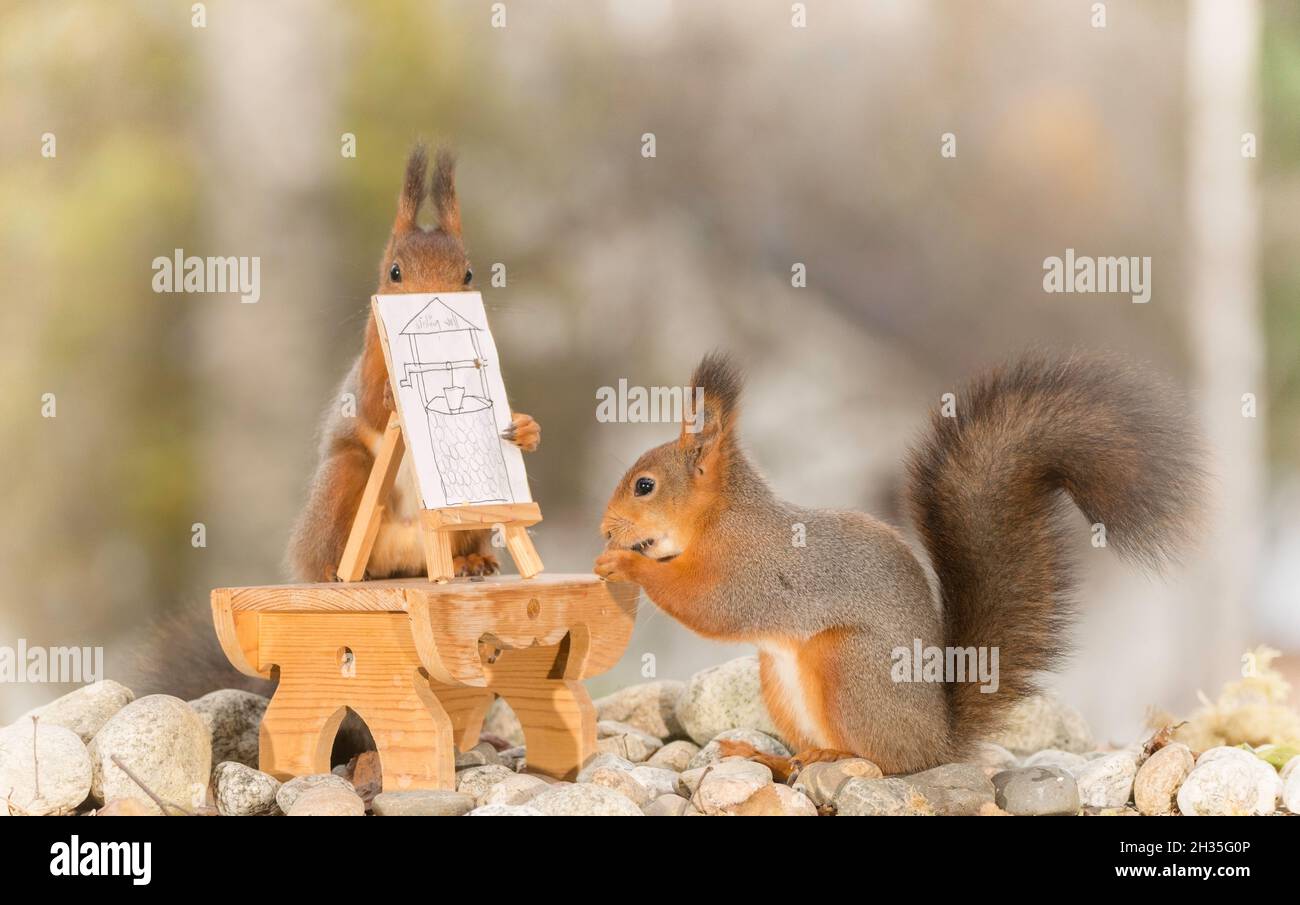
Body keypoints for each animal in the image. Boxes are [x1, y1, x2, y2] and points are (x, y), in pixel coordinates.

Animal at [287, 143, 540, 582]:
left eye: (468, 274)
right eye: (394, 272)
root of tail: (403, 556)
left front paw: (526, 428)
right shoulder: (366, 368)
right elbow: (370, 405)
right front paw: (392, 395)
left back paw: (471, 561)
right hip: (341, 481)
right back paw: (332, 569)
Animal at [595, 352, 1204, 777]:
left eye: (645, 486)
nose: (605, 529)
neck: (720, 519)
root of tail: (939, 741)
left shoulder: (756, 572)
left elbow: (710, 607)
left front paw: (624, 565)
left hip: (847, 666)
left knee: (885, 762)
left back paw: (829, 760)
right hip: (781, 681)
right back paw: (775, 759)